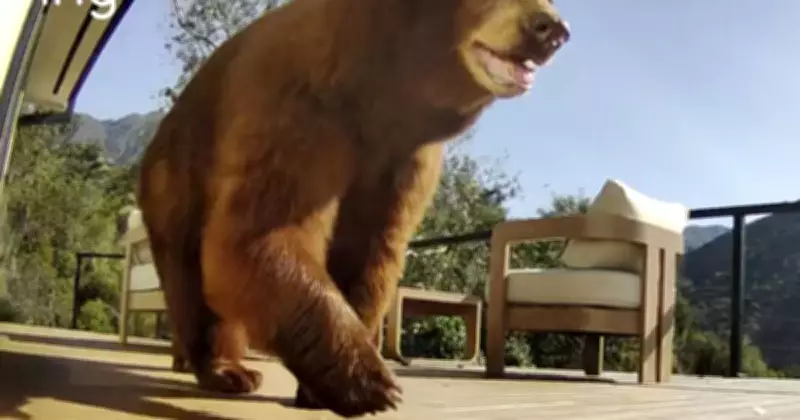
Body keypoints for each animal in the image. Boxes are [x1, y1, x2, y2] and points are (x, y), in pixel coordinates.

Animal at [136, 0, 569, 417]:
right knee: (190, 270)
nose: (551, 31)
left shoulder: (405, 157)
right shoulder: (299, 110)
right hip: (182, 172)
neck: (379, 93)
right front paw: (372, 383)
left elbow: (369, 252)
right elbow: (259, 235)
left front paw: (319, 389)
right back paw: (228, 371)